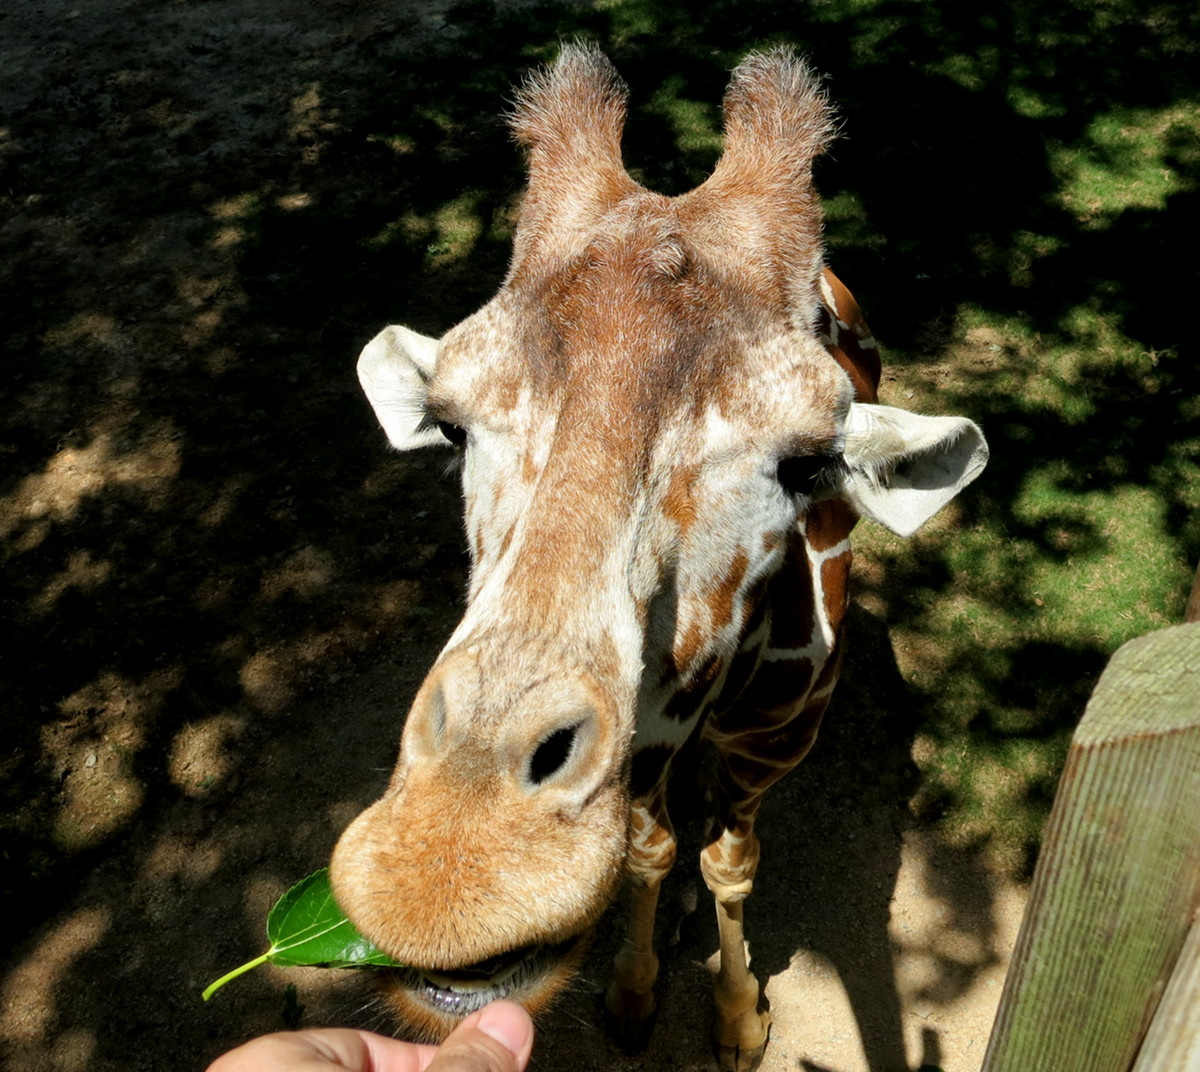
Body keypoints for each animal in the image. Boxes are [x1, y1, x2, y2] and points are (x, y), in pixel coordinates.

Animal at [331, 44, 986, 1072]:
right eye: (450, 426)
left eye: (806, 464)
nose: (450, 864)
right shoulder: (643, 746)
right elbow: (650, 852)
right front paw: (637, 994)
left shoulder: (774, 740)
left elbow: (730, 860)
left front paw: (739, 1020)